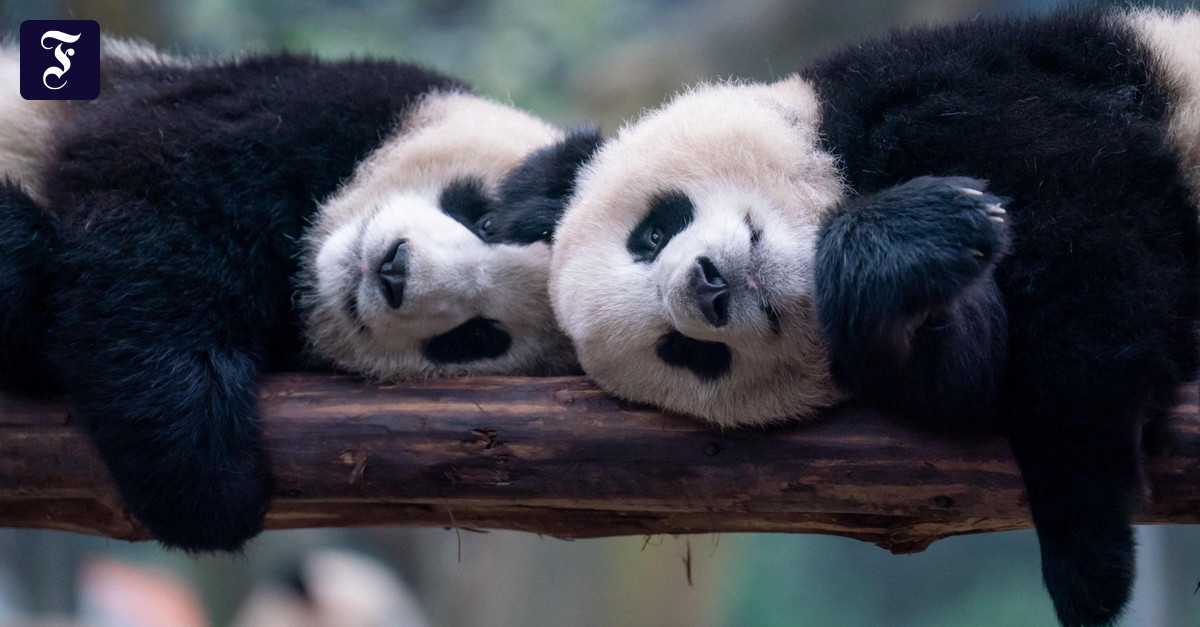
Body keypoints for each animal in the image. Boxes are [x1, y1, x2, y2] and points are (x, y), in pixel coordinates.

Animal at [0, 46, 577, 552]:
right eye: (485, 220)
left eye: (478, 336)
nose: (394, 272)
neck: (307, 271)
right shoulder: (275, 112)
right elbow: (149, 238)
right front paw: (209, 477)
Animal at [505, 8, 1200, 627]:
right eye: (687, 352)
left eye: (650, 235)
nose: (707, 289)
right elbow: (972, 371)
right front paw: (906, 248)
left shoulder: (963, 88)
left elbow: (1088, 229)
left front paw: (1086, 550)